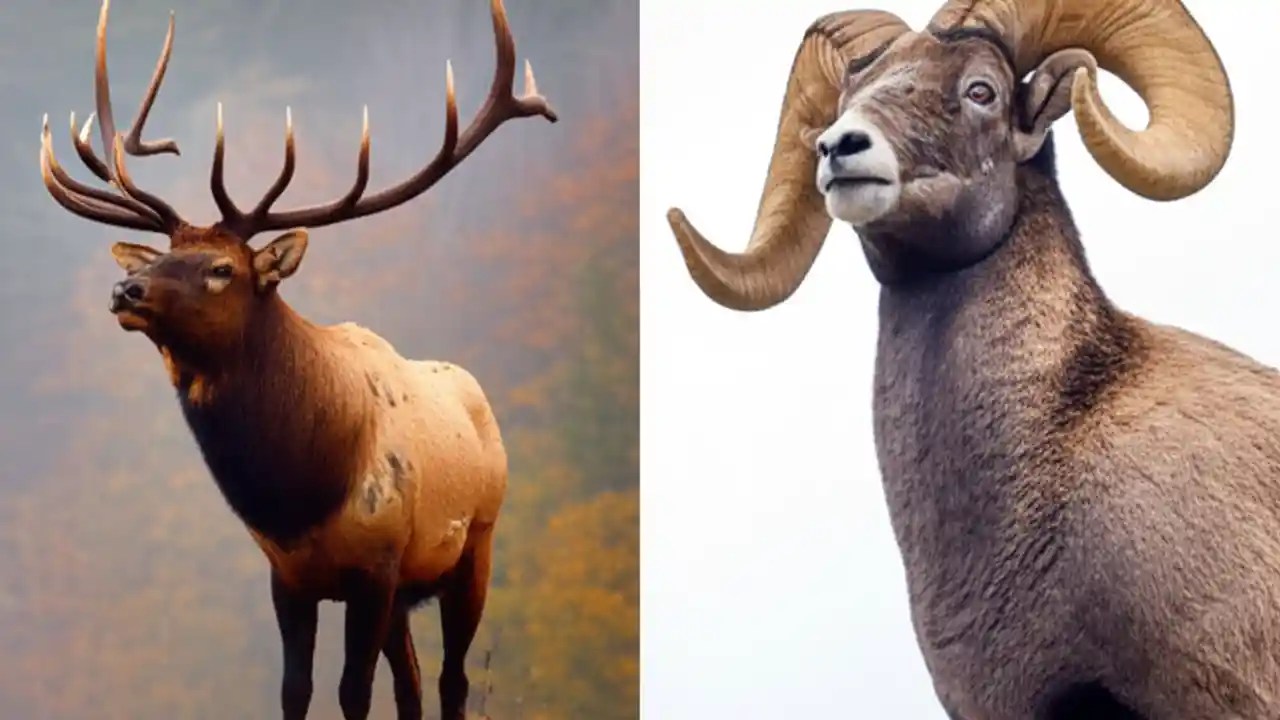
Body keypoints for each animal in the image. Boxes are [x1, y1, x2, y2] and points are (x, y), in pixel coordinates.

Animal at [37, 1, 557, 718]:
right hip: (409, 590)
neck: (301, 493)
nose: (126, 289)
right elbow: (296, 690)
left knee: (451, 678)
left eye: (222, 268)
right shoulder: (288, 576)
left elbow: (353, 690)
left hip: (474, 546)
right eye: (164, 256)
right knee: (412, 679)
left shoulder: (376, 566)